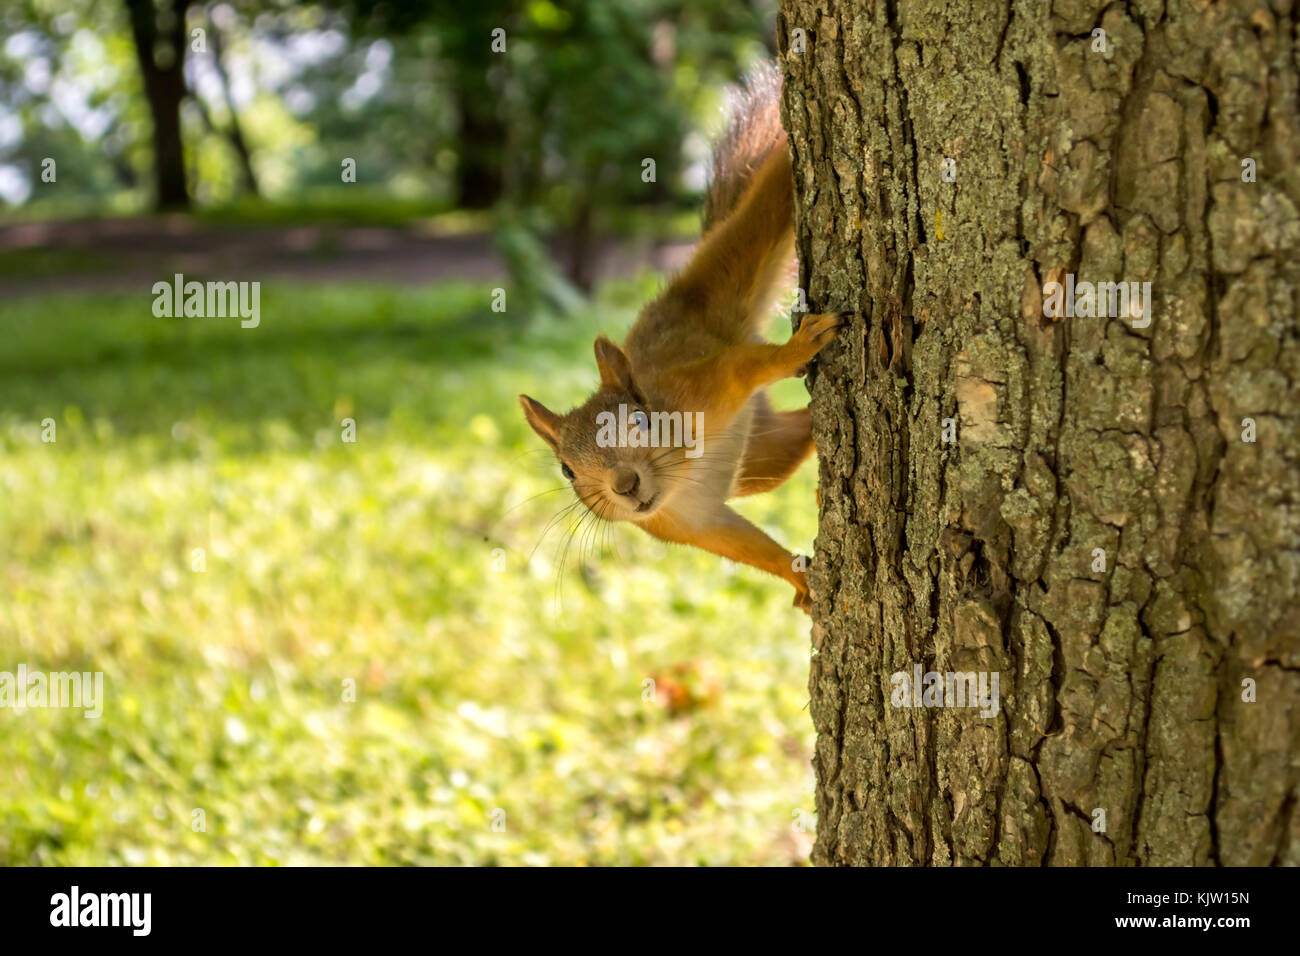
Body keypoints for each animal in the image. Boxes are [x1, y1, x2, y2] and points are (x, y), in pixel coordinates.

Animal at [519, 62, 843, 614]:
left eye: (642, 420)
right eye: (566, 471)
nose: (625, 485)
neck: (678, 478)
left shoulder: (704, 391)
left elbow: (744, 367)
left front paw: (796, 349)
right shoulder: (686, 522)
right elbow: (741, 544)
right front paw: (796, 573)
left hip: (727, 266)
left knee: (762, 212)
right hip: (762, 457)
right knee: (789, 442)